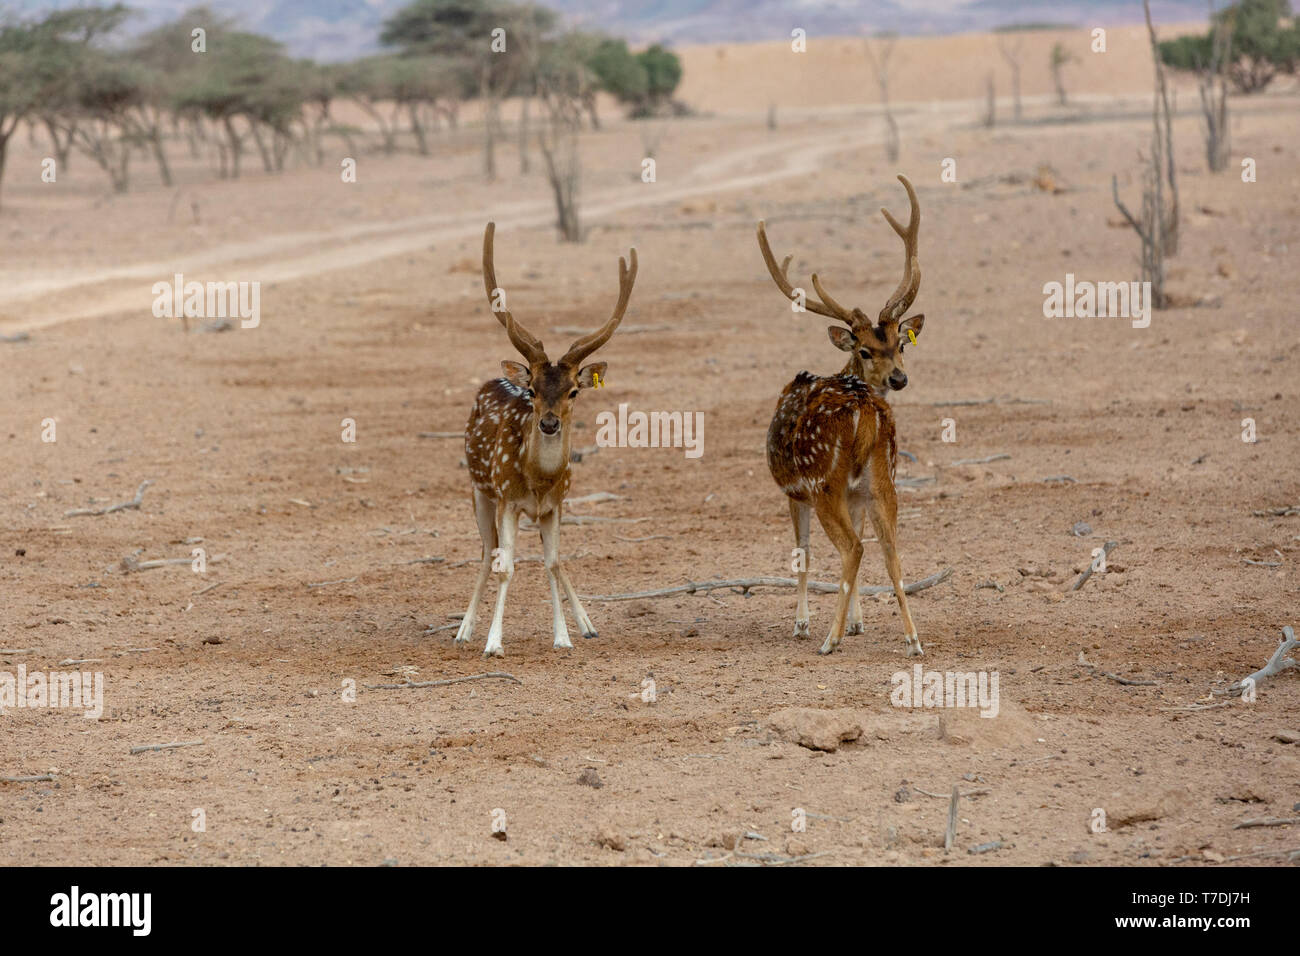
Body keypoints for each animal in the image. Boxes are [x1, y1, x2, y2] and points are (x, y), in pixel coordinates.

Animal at [454, 222, 638, 658]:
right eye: (533, 390)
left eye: (573, 391)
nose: (550, 424)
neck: (537, 479)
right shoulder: (507, 498)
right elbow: (506, 566)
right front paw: (493, 643)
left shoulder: (557, 504)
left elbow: (553, 563)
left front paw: (564, 636)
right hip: (480, 491)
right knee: (486, 553)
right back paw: (464, 629)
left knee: (546, 559)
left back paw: (587, 624)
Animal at [756, 174, 925, 656]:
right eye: (866, 349)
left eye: (901, 344)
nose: (900, 378)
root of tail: (866, 409)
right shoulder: (857, 495)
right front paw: (857, 622)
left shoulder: (795, 492)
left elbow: (804, 554)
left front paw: (803, 625)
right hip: (884, 477)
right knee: (889, 547)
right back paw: (913, 639)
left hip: (824, 481)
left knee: (852, 548)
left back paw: (827, 641)